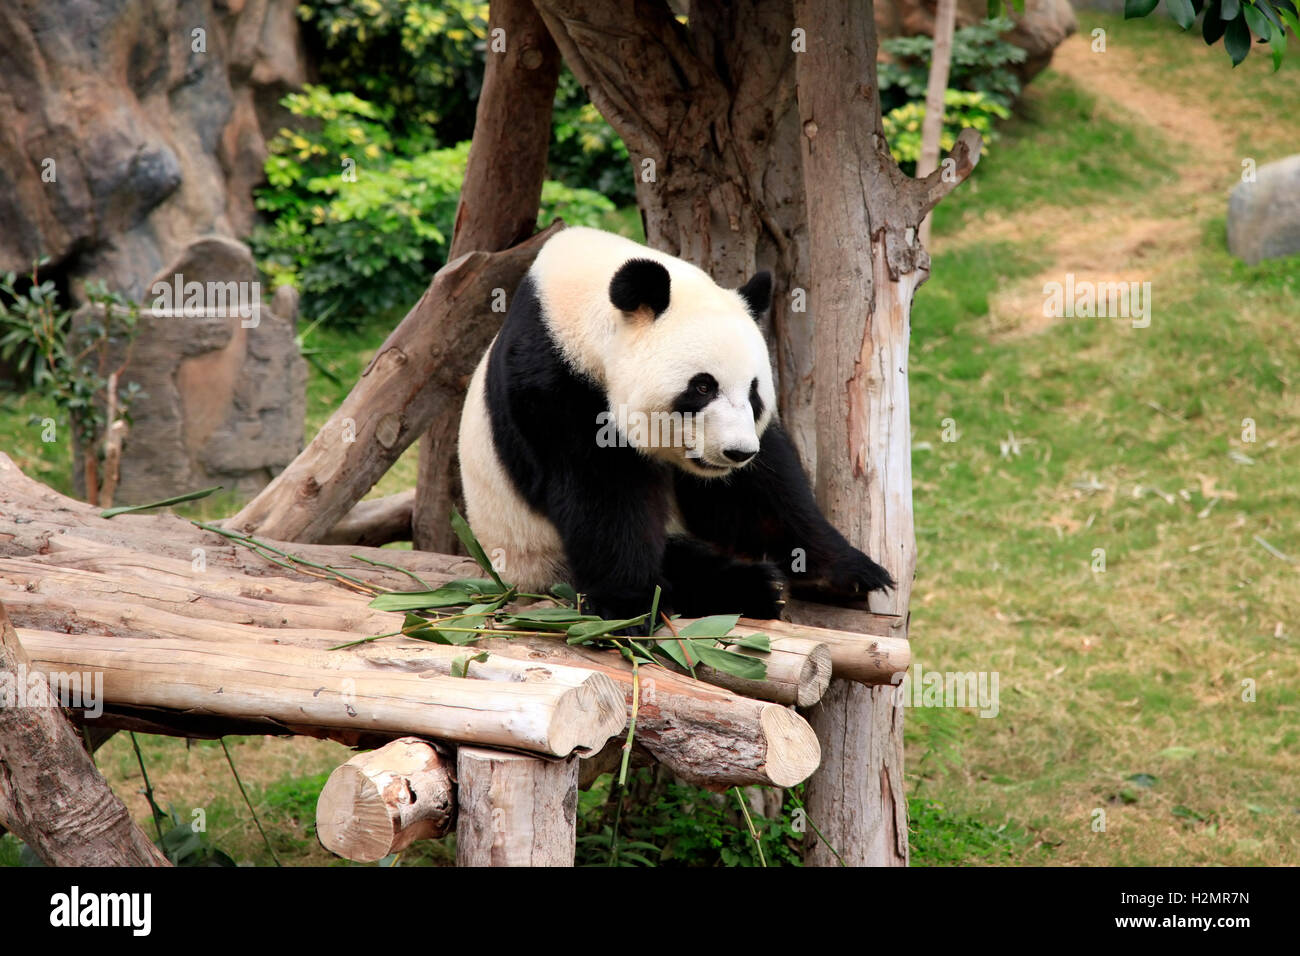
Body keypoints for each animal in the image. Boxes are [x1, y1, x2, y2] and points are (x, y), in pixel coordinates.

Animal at [458, 226, 893, 623]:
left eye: (754, 393)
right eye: (702, 386)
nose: (737, 452)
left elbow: (761, 490)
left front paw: (845, 570)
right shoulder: (551, 386)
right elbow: (601, 492)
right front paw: (627, 604)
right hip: (535, 552)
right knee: (680, 563)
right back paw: (754, 587)